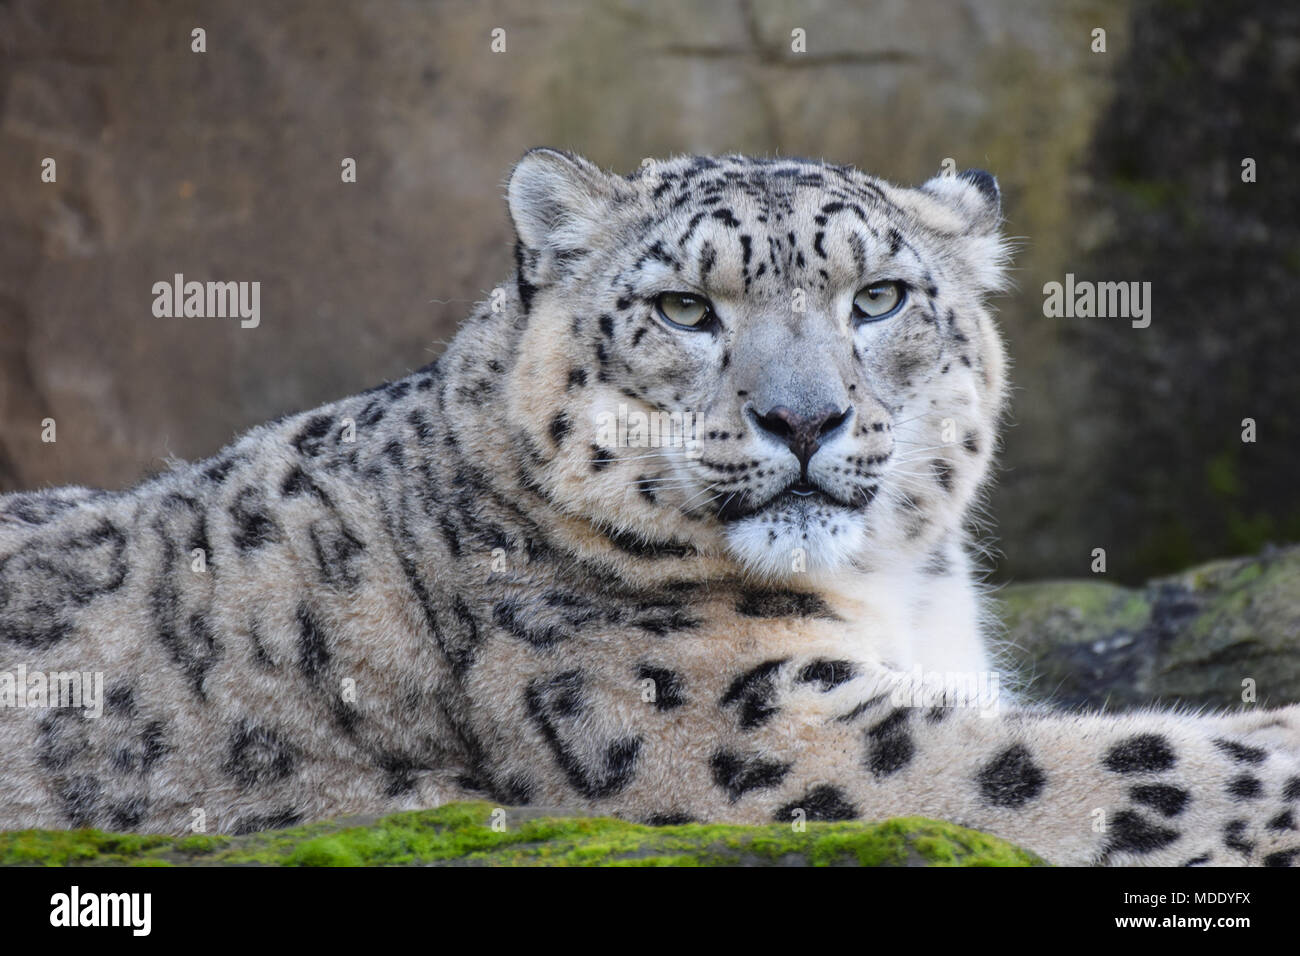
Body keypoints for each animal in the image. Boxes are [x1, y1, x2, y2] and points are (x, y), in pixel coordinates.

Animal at [2, 147, 1298, 866]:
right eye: (684, 308)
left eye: (878, 296)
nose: (803, 418)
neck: (890, 591)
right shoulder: (767, 730)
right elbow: (1110, 763)